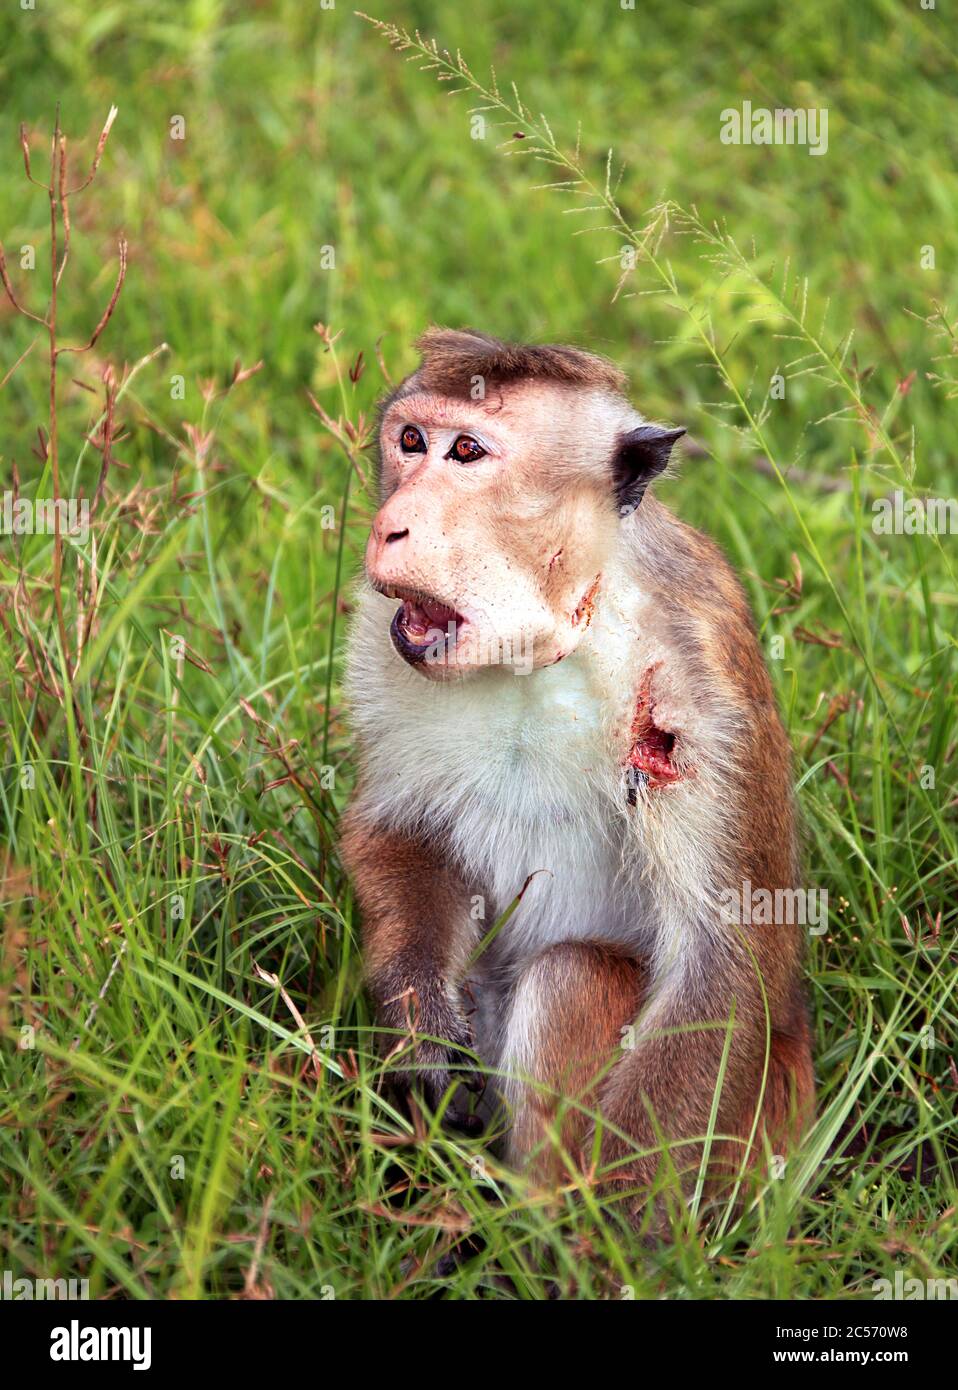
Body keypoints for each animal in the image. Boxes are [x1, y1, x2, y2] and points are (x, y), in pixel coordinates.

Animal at [340, 327, 814, 1231]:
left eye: (466, 452)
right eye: (410, 441)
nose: (390, 527)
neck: (549, 640)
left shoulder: (702, 684)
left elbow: (723, 963)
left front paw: (614, 1242)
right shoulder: (381, 645)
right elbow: (398, 832)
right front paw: (421, 1032)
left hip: (752, 1142)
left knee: (572, 974)